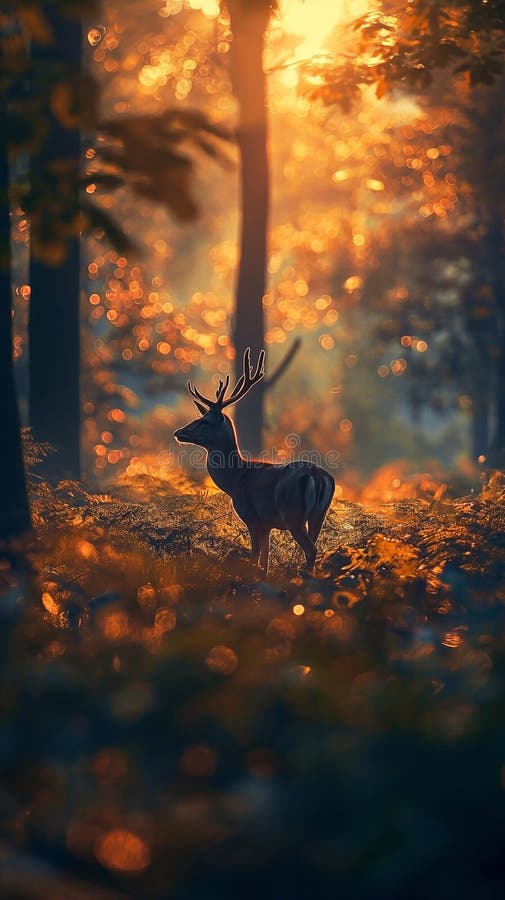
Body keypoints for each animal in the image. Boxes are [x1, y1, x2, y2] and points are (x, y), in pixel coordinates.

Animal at [174, 348, 335, 574]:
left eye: (204, 421)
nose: (178, 432)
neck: (235, 479)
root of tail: (319, 477)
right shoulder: (267, 524)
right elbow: (265, 561)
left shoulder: (251, 516)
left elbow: (255, 555)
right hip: (318, 515)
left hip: (293, 514)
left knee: (311, 550)